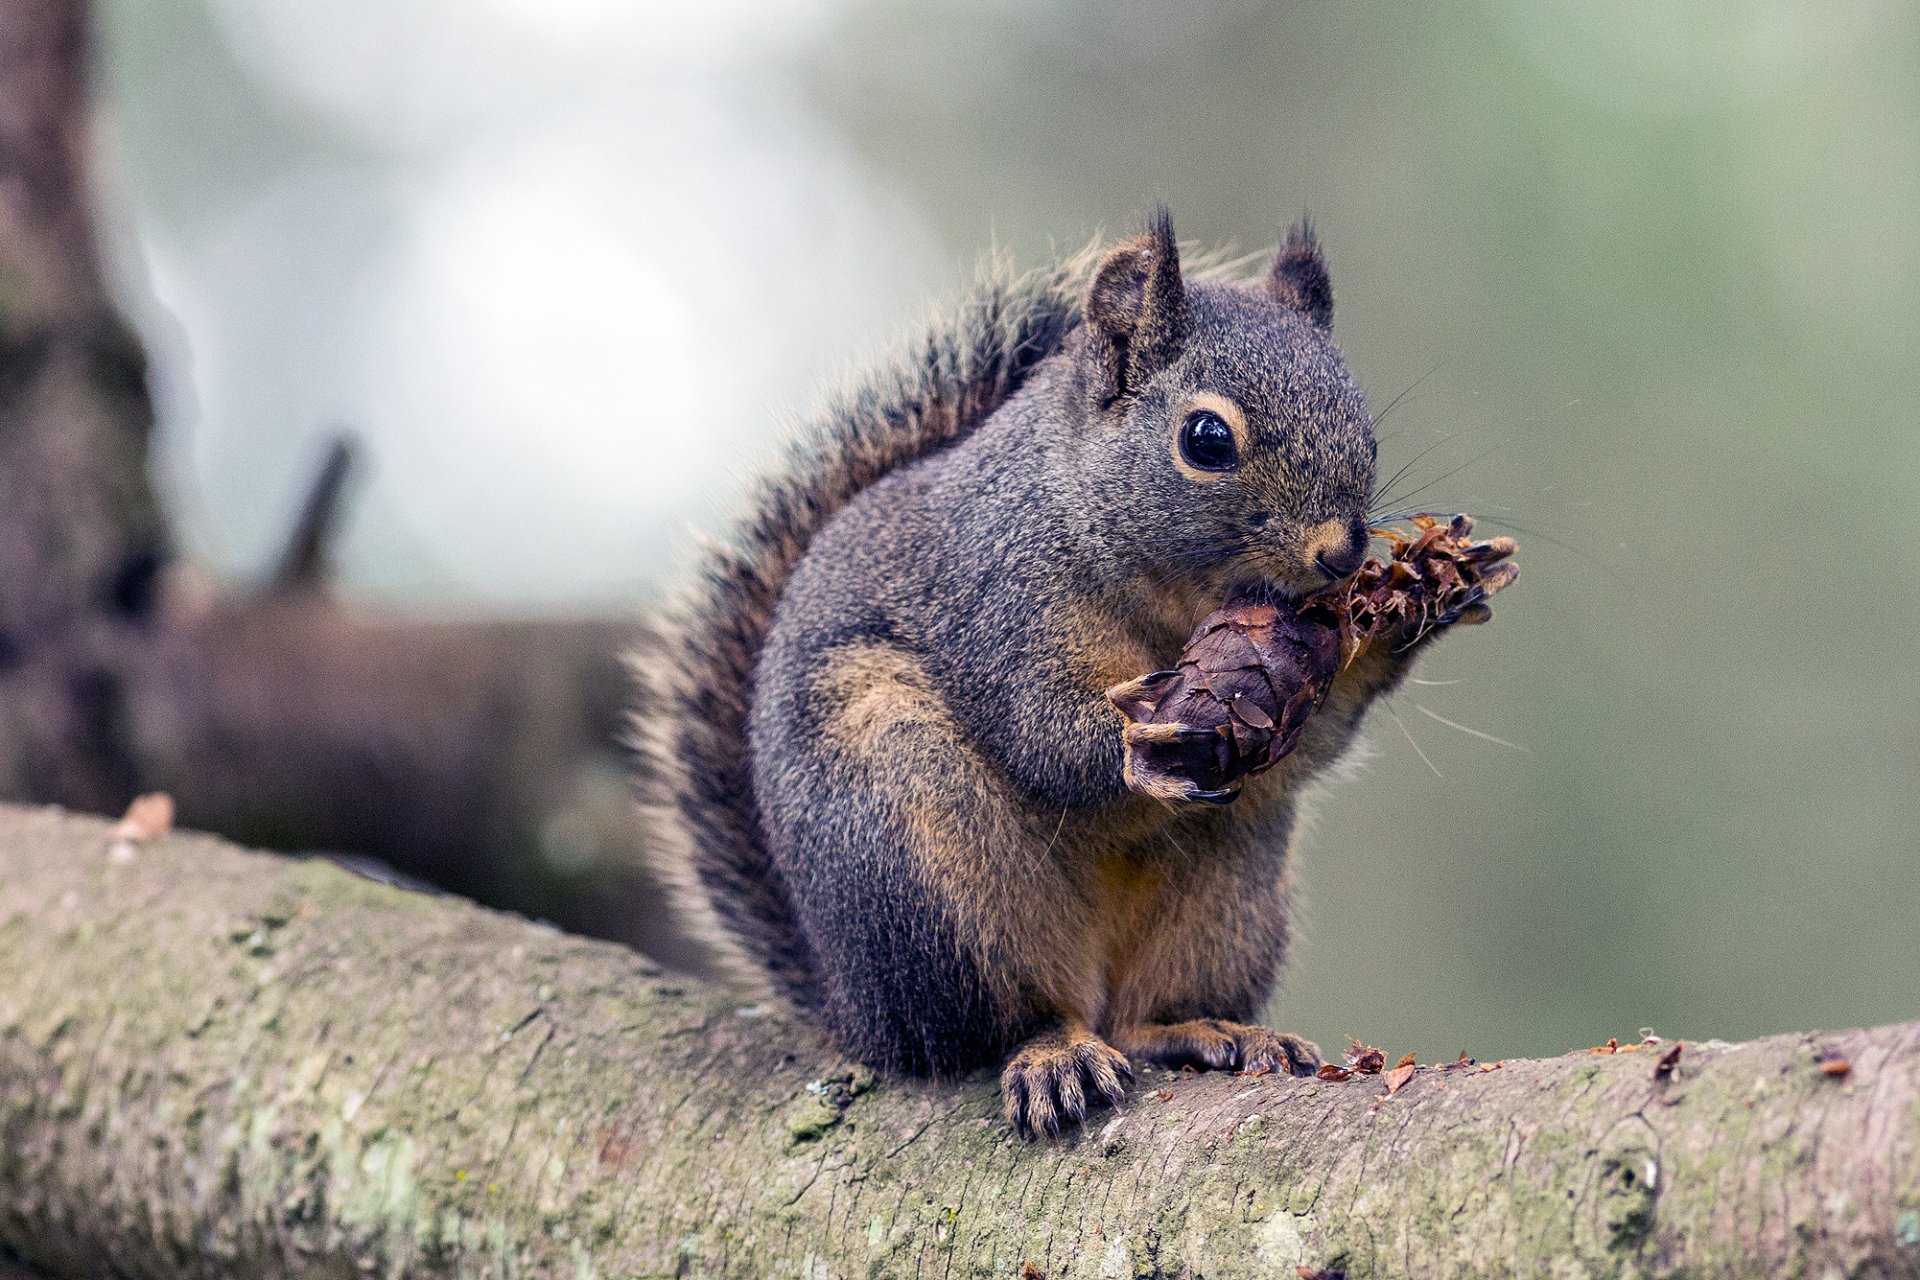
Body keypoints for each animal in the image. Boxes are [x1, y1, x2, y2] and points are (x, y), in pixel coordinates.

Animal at [635, 209, 1502, 1138]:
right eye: (1206, 439)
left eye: (1365, 428)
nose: (1341, 554)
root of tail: (853, 1010)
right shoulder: (998, 595)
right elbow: (1039, 732)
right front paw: (1132, 744)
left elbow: (1306, 745)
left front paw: (1417, 606)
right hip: (918, 854)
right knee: (991, 1026)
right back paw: (1051, 1053)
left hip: (1234, 890)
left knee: (1142, 1013)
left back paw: (1207, 1029)